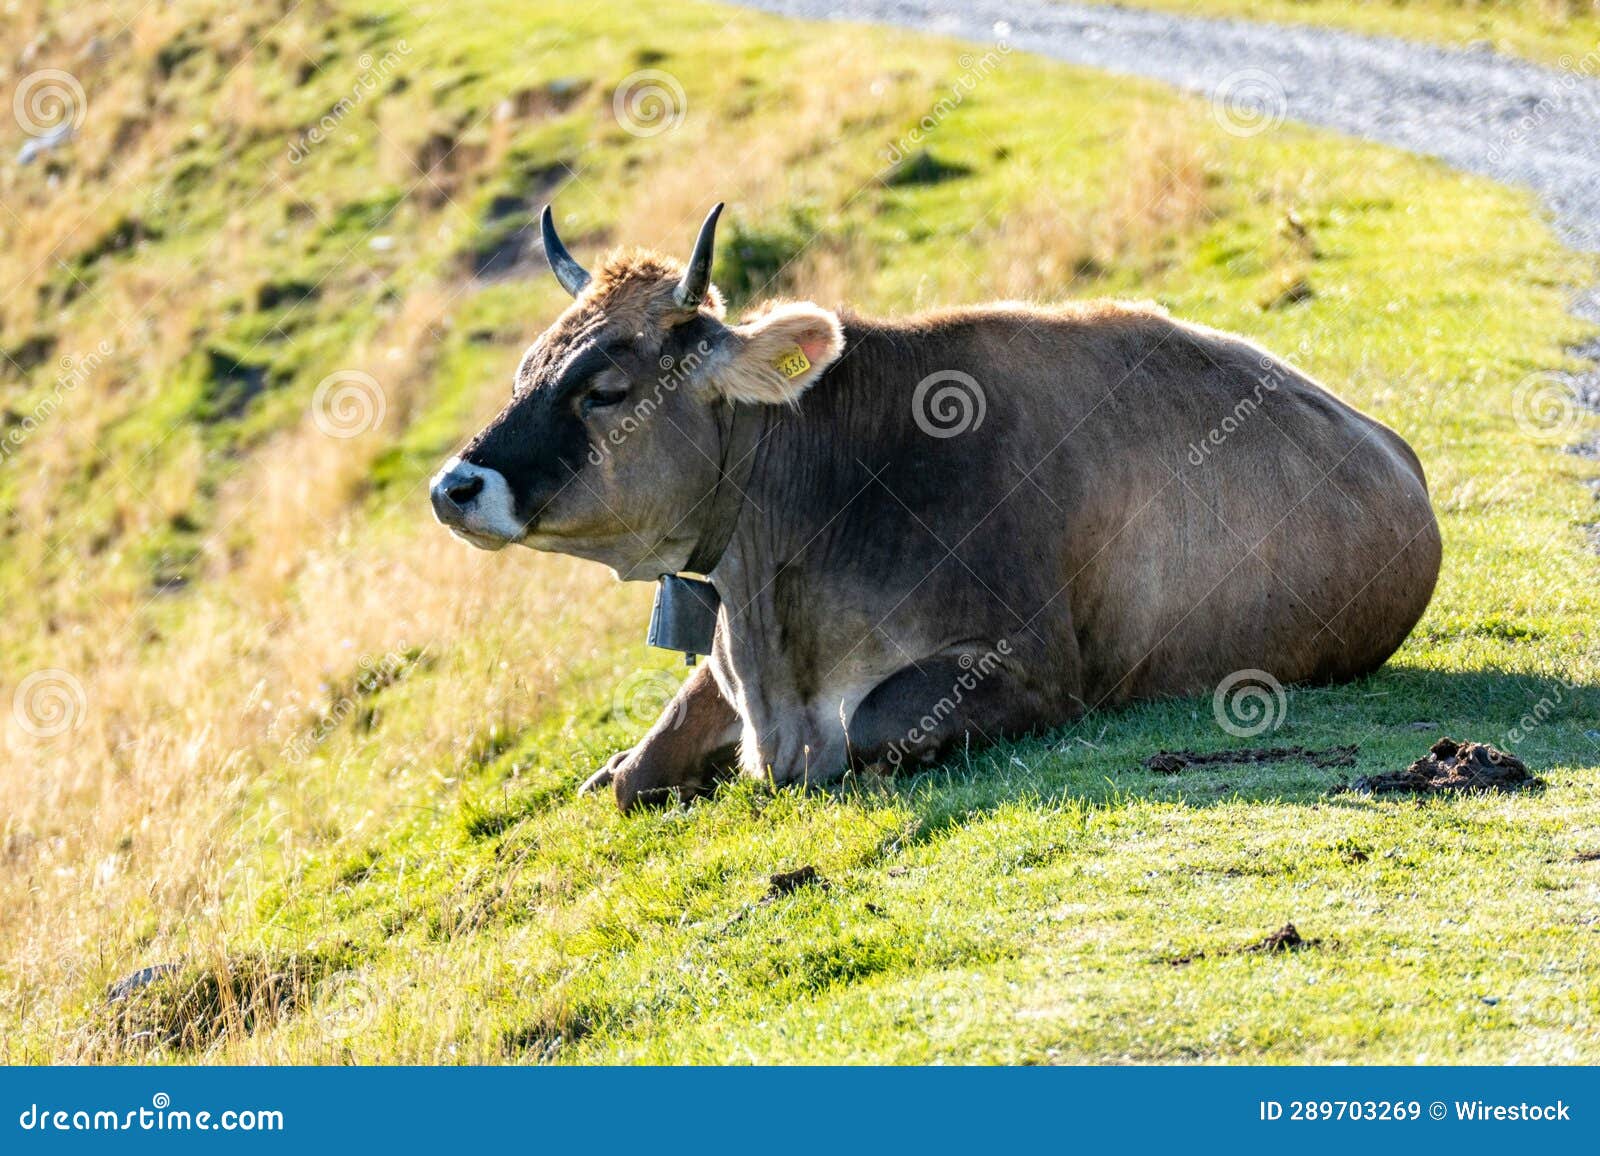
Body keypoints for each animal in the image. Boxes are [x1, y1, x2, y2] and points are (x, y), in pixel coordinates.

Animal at [431, 204, 1441, 810]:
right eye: (525, 371)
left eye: (605, 390)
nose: (453, 486)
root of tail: (1394, 446)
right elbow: (635, 775)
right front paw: (617, 763)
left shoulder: (1029, 667)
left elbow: (877, 727)